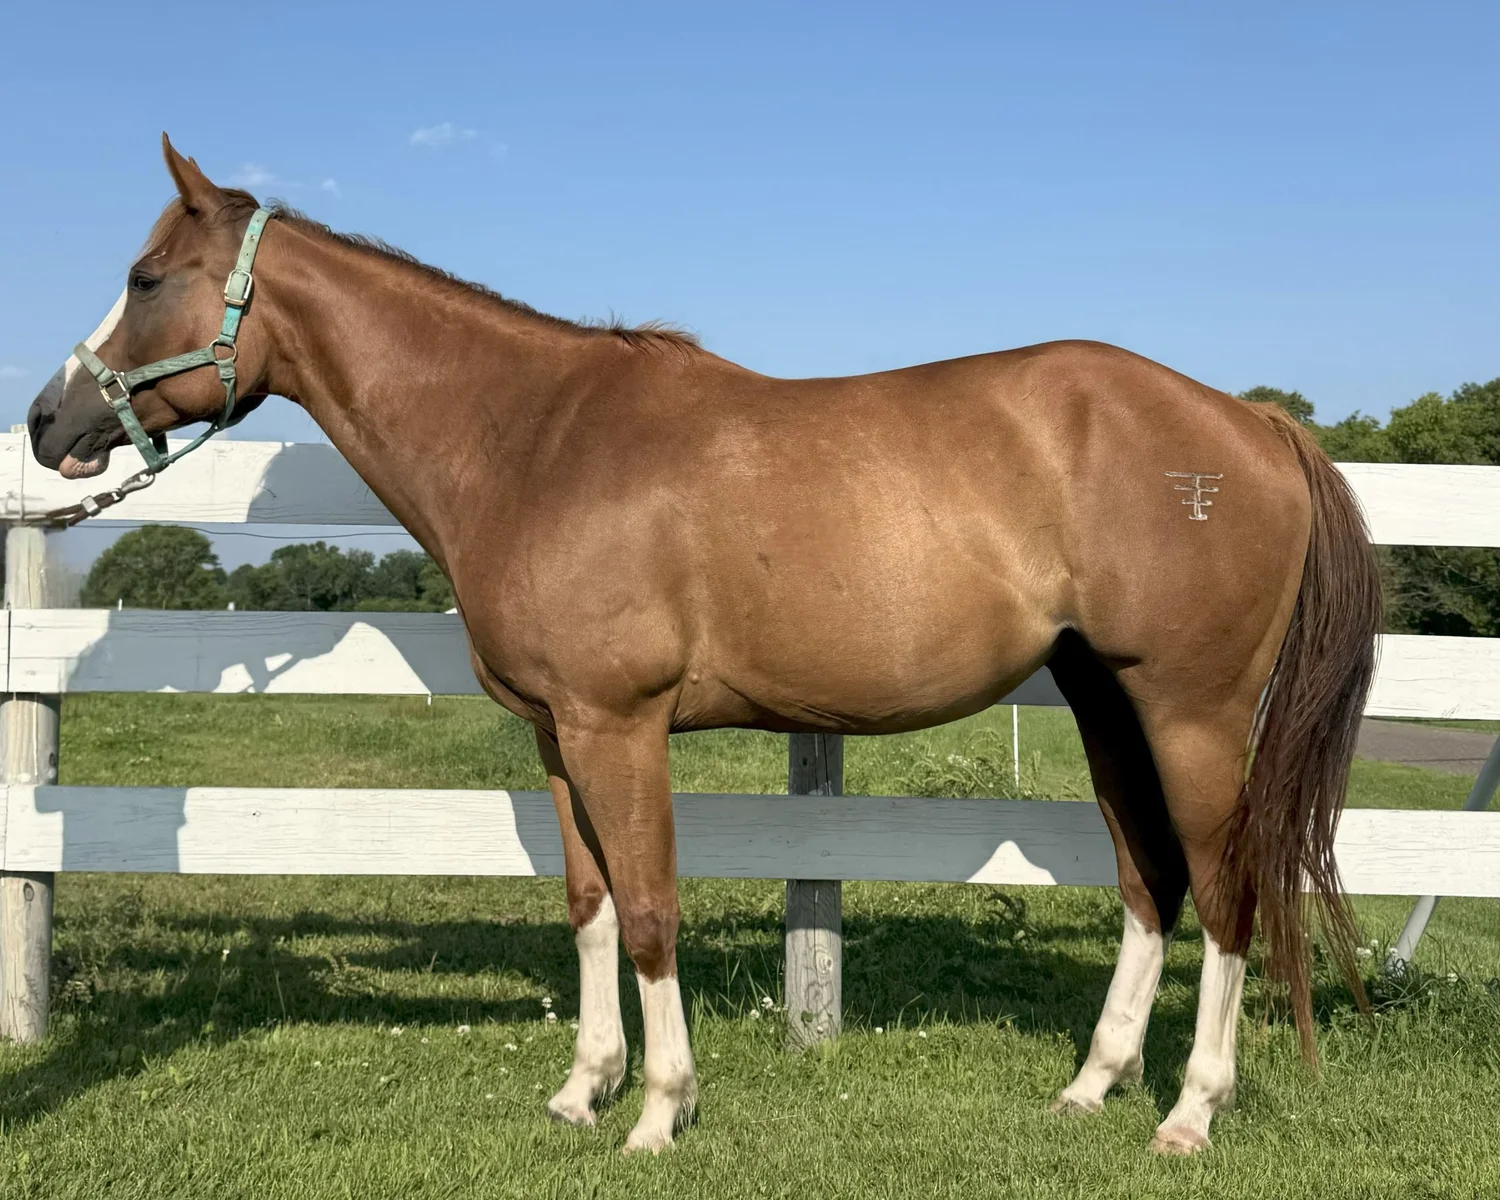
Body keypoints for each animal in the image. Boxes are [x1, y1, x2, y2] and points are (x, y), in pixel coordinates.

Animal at [28, 136, 1381, 1155]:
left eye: (146, 277)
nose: (48, 422)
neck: (533, 440)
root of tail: (1252, 422)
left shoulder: (620, 726)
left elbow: (648, 912)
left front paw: (661, 1112)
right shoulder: (559, 735)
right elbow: (587, 905)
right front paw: (584, 1091)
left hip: (1193, 713)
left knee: (1225, 893)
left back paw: (1190, 1116)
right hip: (1107, 704)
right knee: (1150, 885)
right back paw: (1092, 1086)